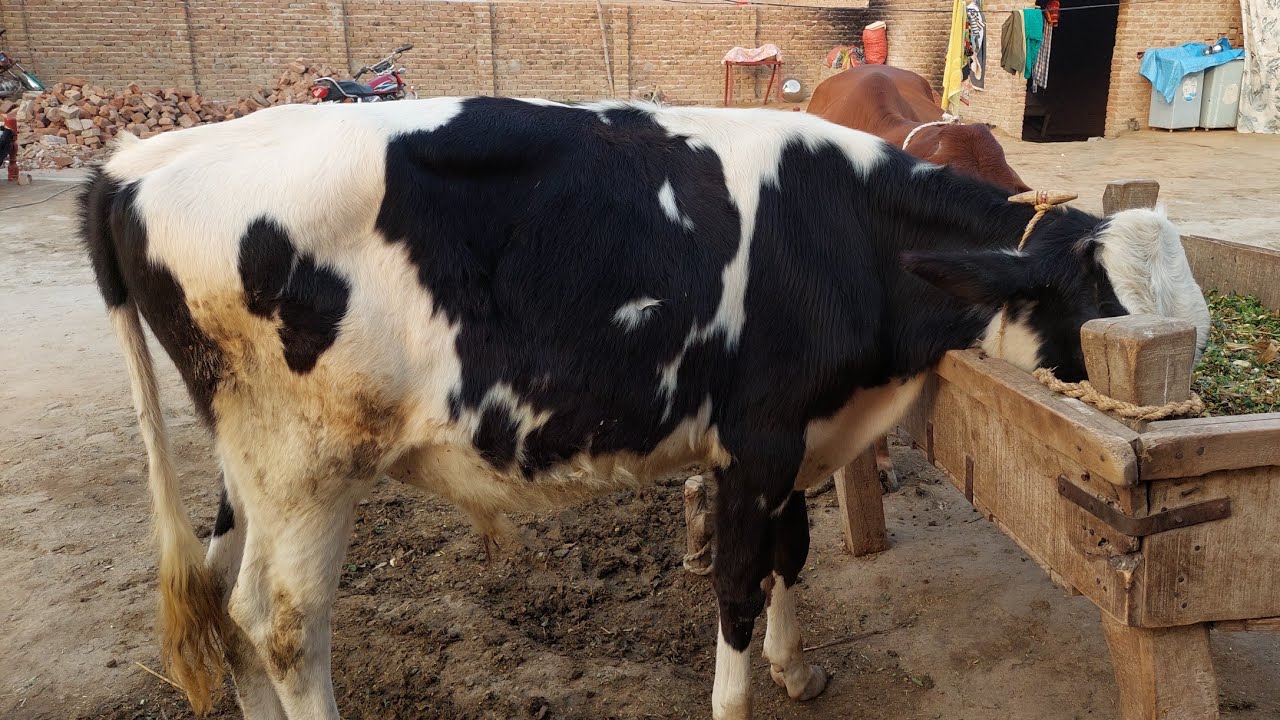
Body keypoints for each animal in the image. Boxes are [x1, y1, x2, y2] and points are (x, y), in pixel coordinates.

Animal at [80, 97, 1209, 720]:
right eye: (1103, 331)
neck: (846, 235)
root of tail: (137, 161)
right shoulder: (756, 440)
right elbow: (739, 587)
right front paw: (744, 693)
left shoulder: (799, 438)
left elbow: (794, 557)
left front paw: (797, 672)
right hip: (306, 463)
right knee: (278, 623)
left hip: (250, 466)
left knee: (224, 601)